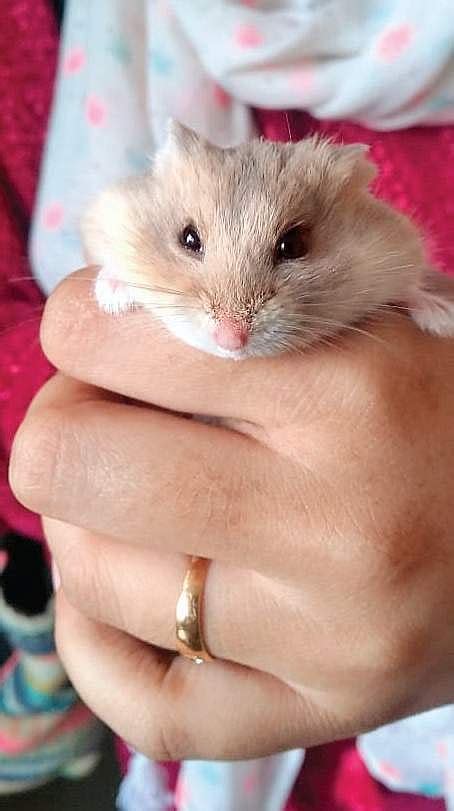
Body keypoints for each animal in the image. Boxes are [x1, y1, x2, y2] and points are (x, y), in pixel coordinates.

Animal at [81, 121, 454, 360]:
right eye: (188, 238)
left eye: (294, 245)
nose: (231, 340)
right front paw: (112, 298)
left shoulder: (400, 247)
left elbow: (410, 287)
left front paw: (442, 321)